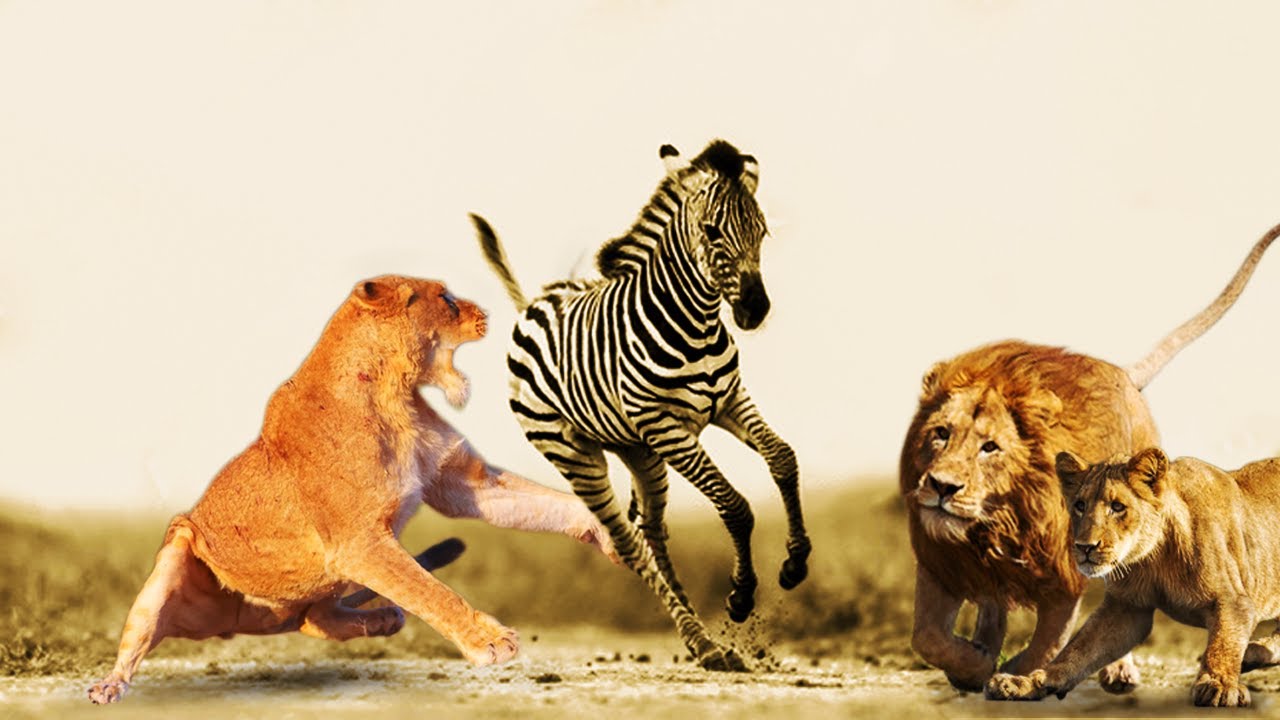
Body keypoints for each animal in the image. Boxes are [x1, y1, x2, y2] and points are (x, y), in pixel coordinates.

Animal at [469, 139, 810, 671]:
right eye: (711, 231)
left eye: (762, 231)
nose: (755, 310)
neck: (696, 324)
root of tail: (534, 304)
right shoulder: (666, 424)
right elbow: (734, 505)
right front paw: (740, 597)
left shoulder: (729, 401)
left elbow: (783, 458)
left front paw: (795, 563)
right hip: (577, 453)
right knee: (629, 542)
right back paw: (704, 642)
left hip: (640, 450)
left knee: (653, 530)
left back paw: (700, 639)